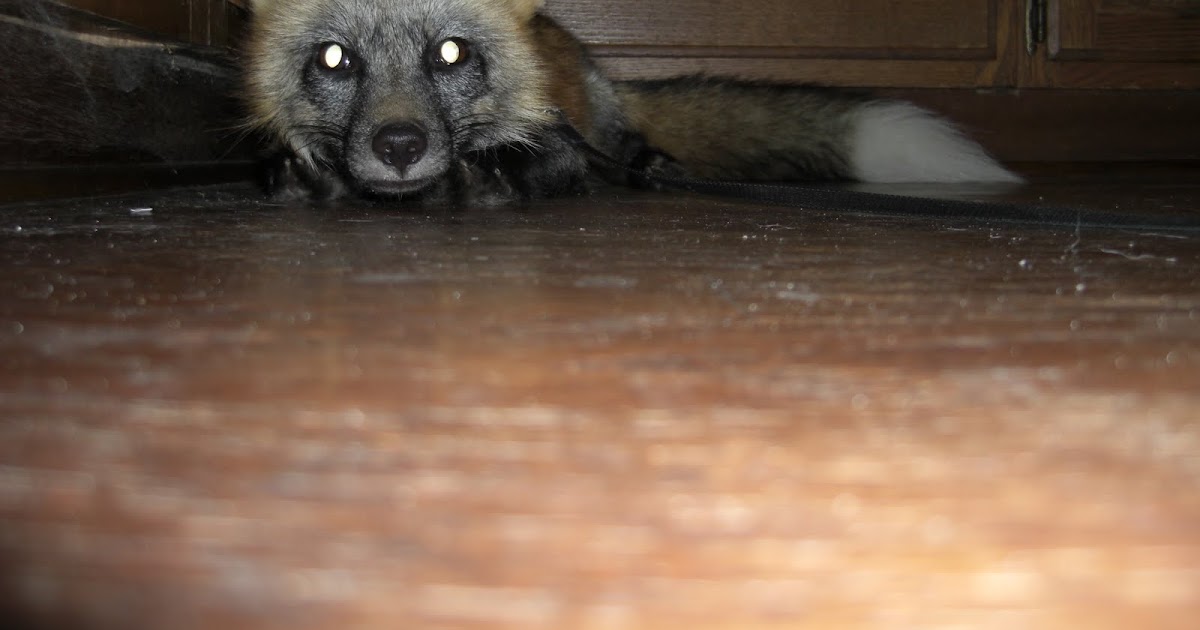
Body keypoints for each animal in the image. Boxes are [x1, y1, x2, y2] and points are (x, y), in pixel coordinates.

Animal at [244, 0, 1021, 205]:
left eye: (452, 54)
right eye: (335, 60)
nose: (399, 146)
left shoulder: (558, 152)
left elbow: (531, 168)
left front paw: (489, 180)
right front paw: (313, 179)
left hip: (604, 135)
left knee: (630, 154)